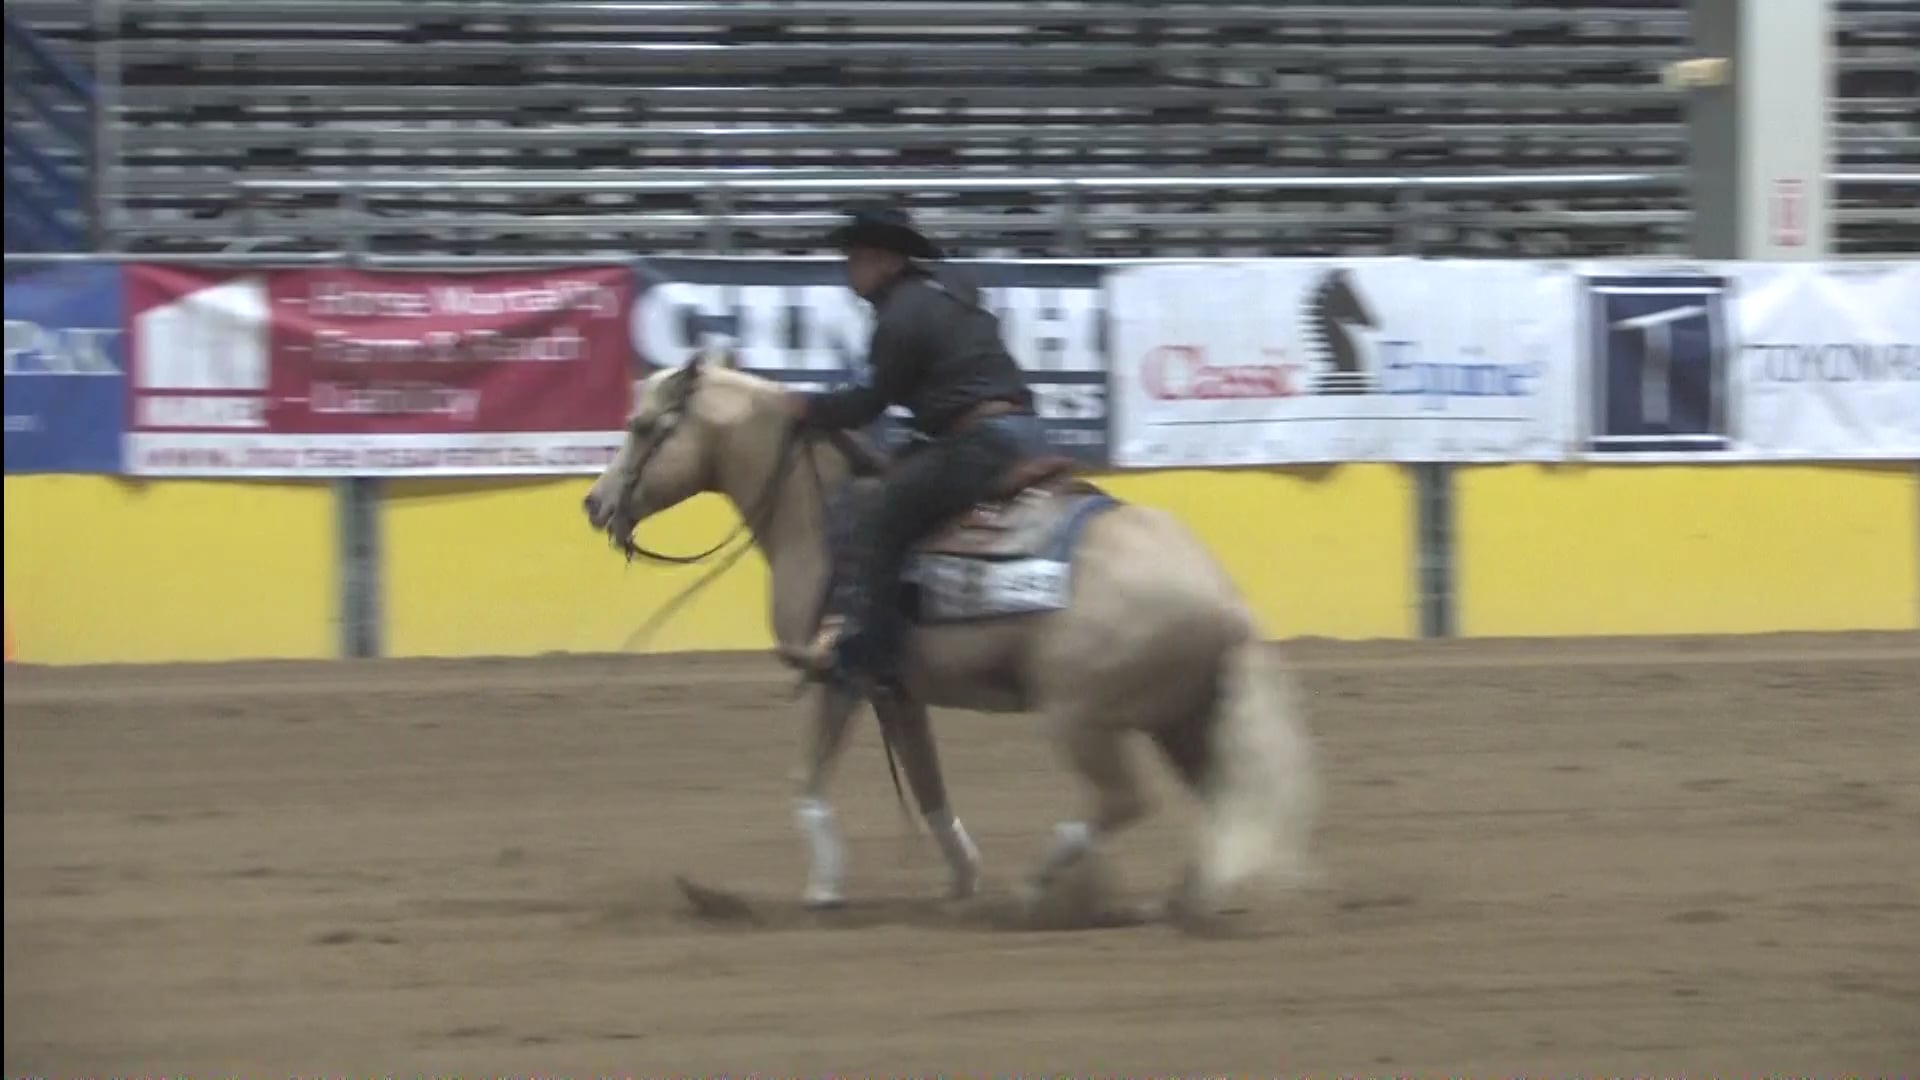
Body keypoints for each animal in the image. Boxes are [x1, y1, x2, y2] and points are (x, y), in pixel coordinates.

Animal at [582, 352, 1318, 925]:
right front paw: (962, 879)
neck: (820, 516)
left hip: (1081, 717)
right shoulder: (895, 693)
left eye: (643, 426)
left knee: (1125, 800)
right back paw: (1187, 896)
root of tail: (1226, 603)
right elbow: (928, 784)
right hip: (1183, 719)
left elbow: (807, 778)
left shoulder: (838, 677)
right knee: (1216, 796)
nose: (594, 504)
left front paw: (824, 887)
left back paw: (1043, 886)